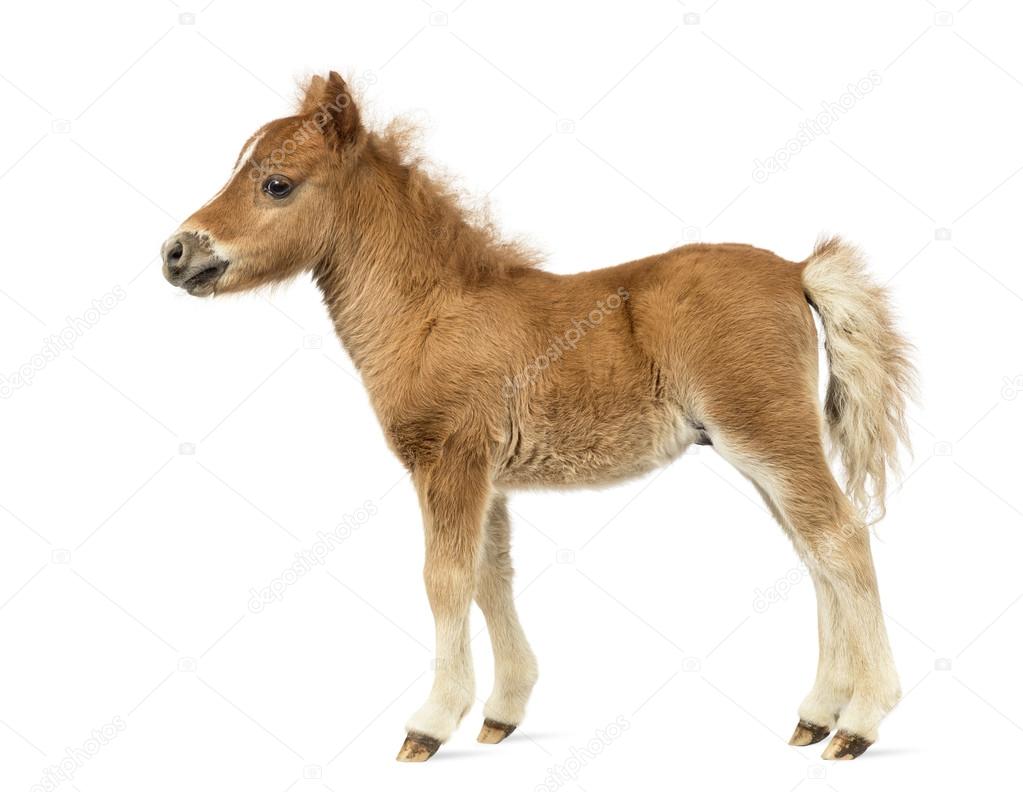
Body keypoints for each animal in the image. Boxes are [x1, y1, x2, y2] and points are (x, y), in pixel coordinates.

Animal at [161, 71, 915, 762]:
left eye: (276, 184)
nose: (177, 252)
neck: (431, 313)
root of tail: (796, 271)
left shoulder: (449, 461)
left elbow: (444, 579)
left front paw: (430, 723)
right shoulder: (487, 478)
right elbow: (490, 576)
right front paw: (501, 713)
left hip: (767, 436)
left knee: (841, 538)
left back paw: (858, 723)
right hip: (759, 451)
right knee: (813, 553)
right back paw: (815, 715)